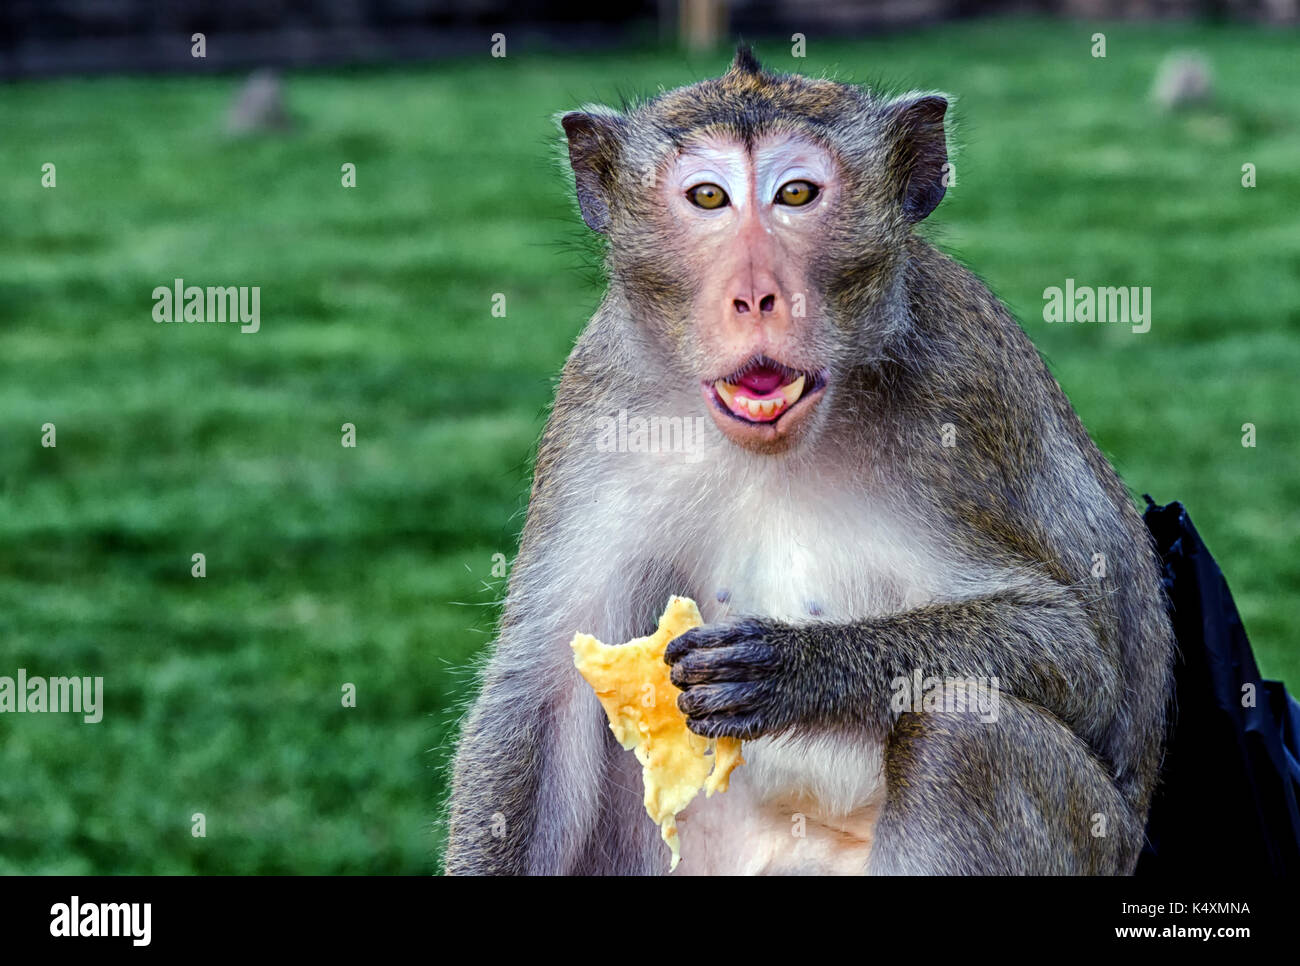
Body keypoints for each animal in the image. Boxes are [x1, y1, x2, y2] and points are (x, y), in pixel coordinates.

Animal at [444, 47, 1175, 875]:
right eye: (708, 197)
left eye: (796, 194)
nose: (757, 295)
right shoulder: (598, 403)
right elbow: (540, 700)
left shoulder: (966, 397)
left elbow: (1078, 657)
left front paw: (802, 669)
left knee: (963, 730)